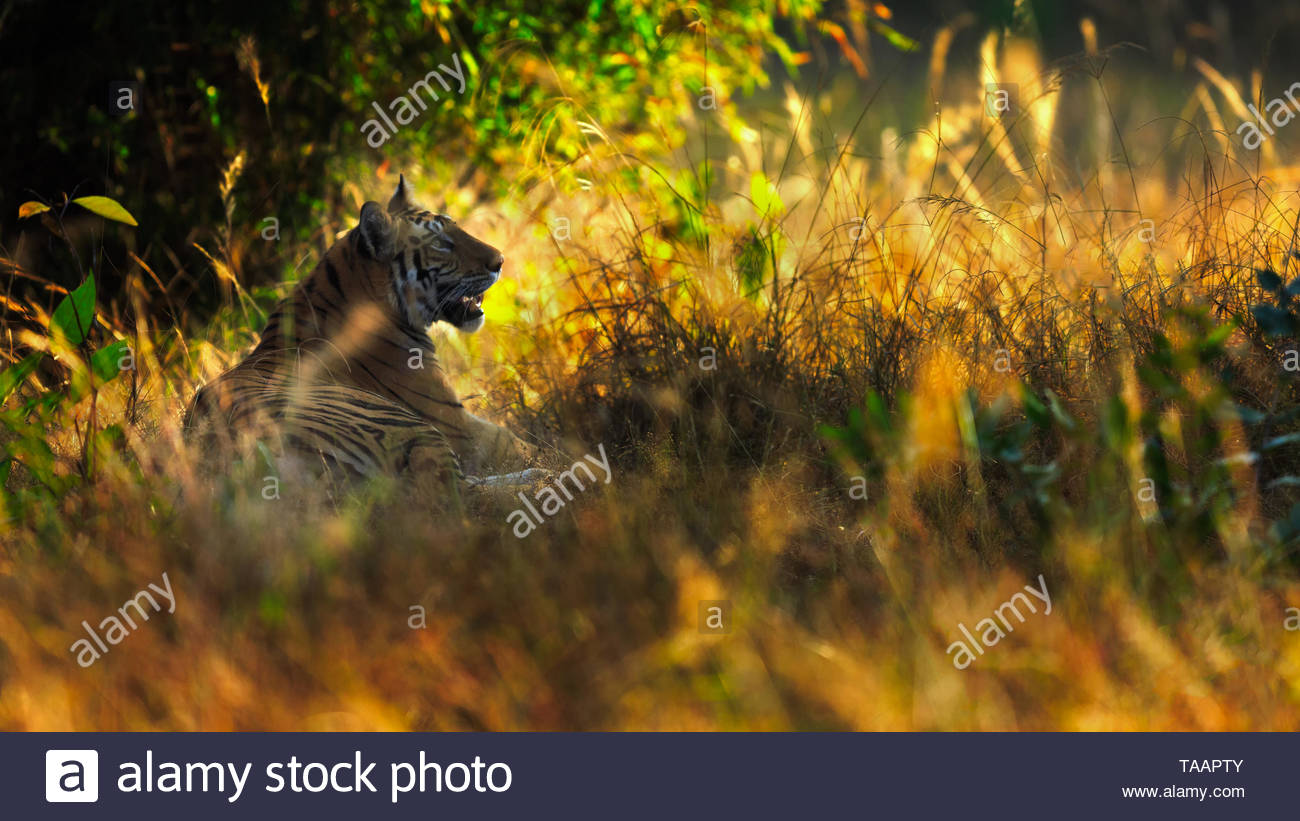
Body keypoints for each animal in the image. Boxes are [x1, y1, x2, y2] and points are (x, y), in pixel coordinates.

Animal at [184, 174, 545, 497]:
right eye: (441, 244)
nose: (500, 261)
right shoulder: (458, 424)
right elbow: (521, 443)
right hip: (405, 424)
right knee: (459, 495)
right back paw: (545, 479)